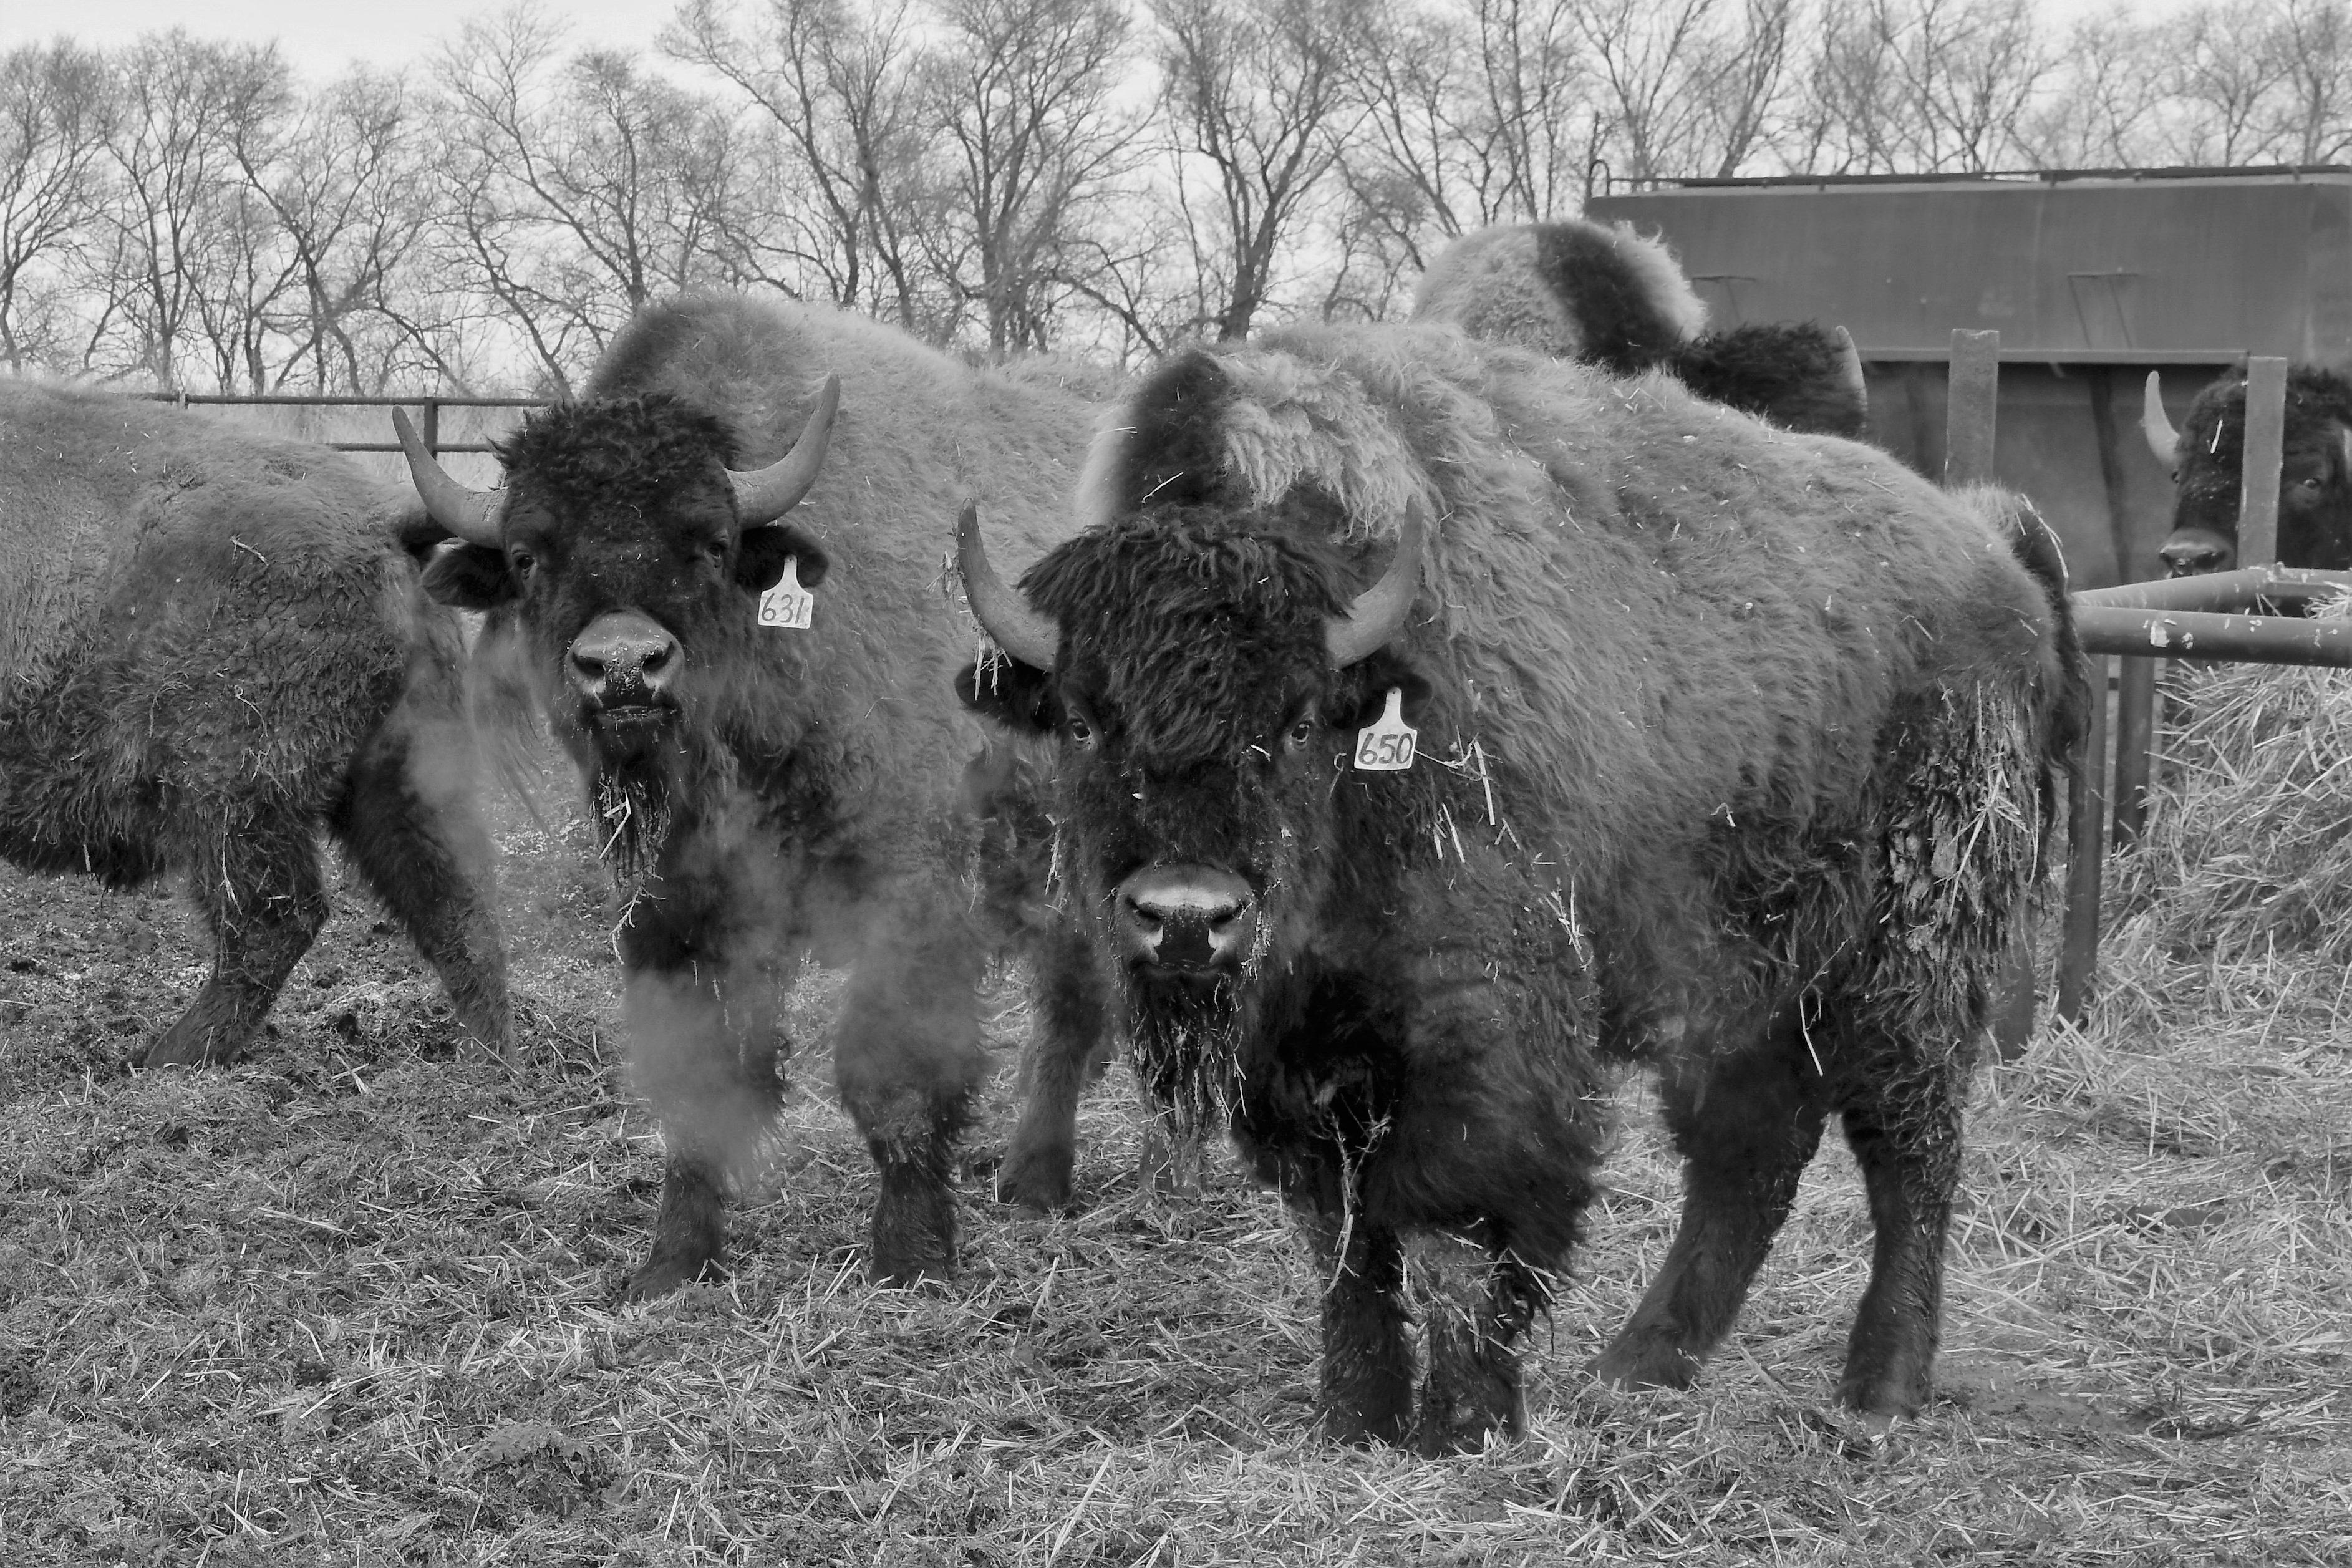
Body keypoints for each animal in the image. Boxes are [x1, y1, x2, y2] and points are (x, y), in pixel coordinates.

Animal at [0, 378, 512, 1066]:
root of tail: (382, 516)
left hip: (224, 785)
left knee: (274, 920)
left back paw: (160, 1061)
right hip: (402, 769)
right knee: (456, 904)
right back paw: (492, 1062)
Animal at [395, 295, 1104, 1297]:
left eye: (711, 542)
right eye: (530, 555)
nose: (624, 667)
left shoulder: (911, 896)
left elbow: (890, 1074)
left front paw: (911, 1260)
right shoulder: (674, 915)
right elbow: (698, 1088)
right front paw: (671, 1263)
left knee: (1072, 1002)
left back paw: (1036, 1181)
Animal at [957, 323, 2083, 1451]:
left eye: (1297, 719)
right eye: (1083, 721)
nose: (1185, 918)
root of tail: (2000, 560)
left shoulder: (1481, 1026)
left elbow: (1459, 1225)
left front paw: (1464, 1423)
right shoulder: (1305, 1055)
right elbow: (1344, 1242)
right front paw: (1353, 1418)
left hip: (1909, 963)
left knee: (1909, 1151)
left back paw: (1879, 1384)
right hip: (1743, 982)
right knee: (1748, 1155)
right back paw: (1641, 1362)